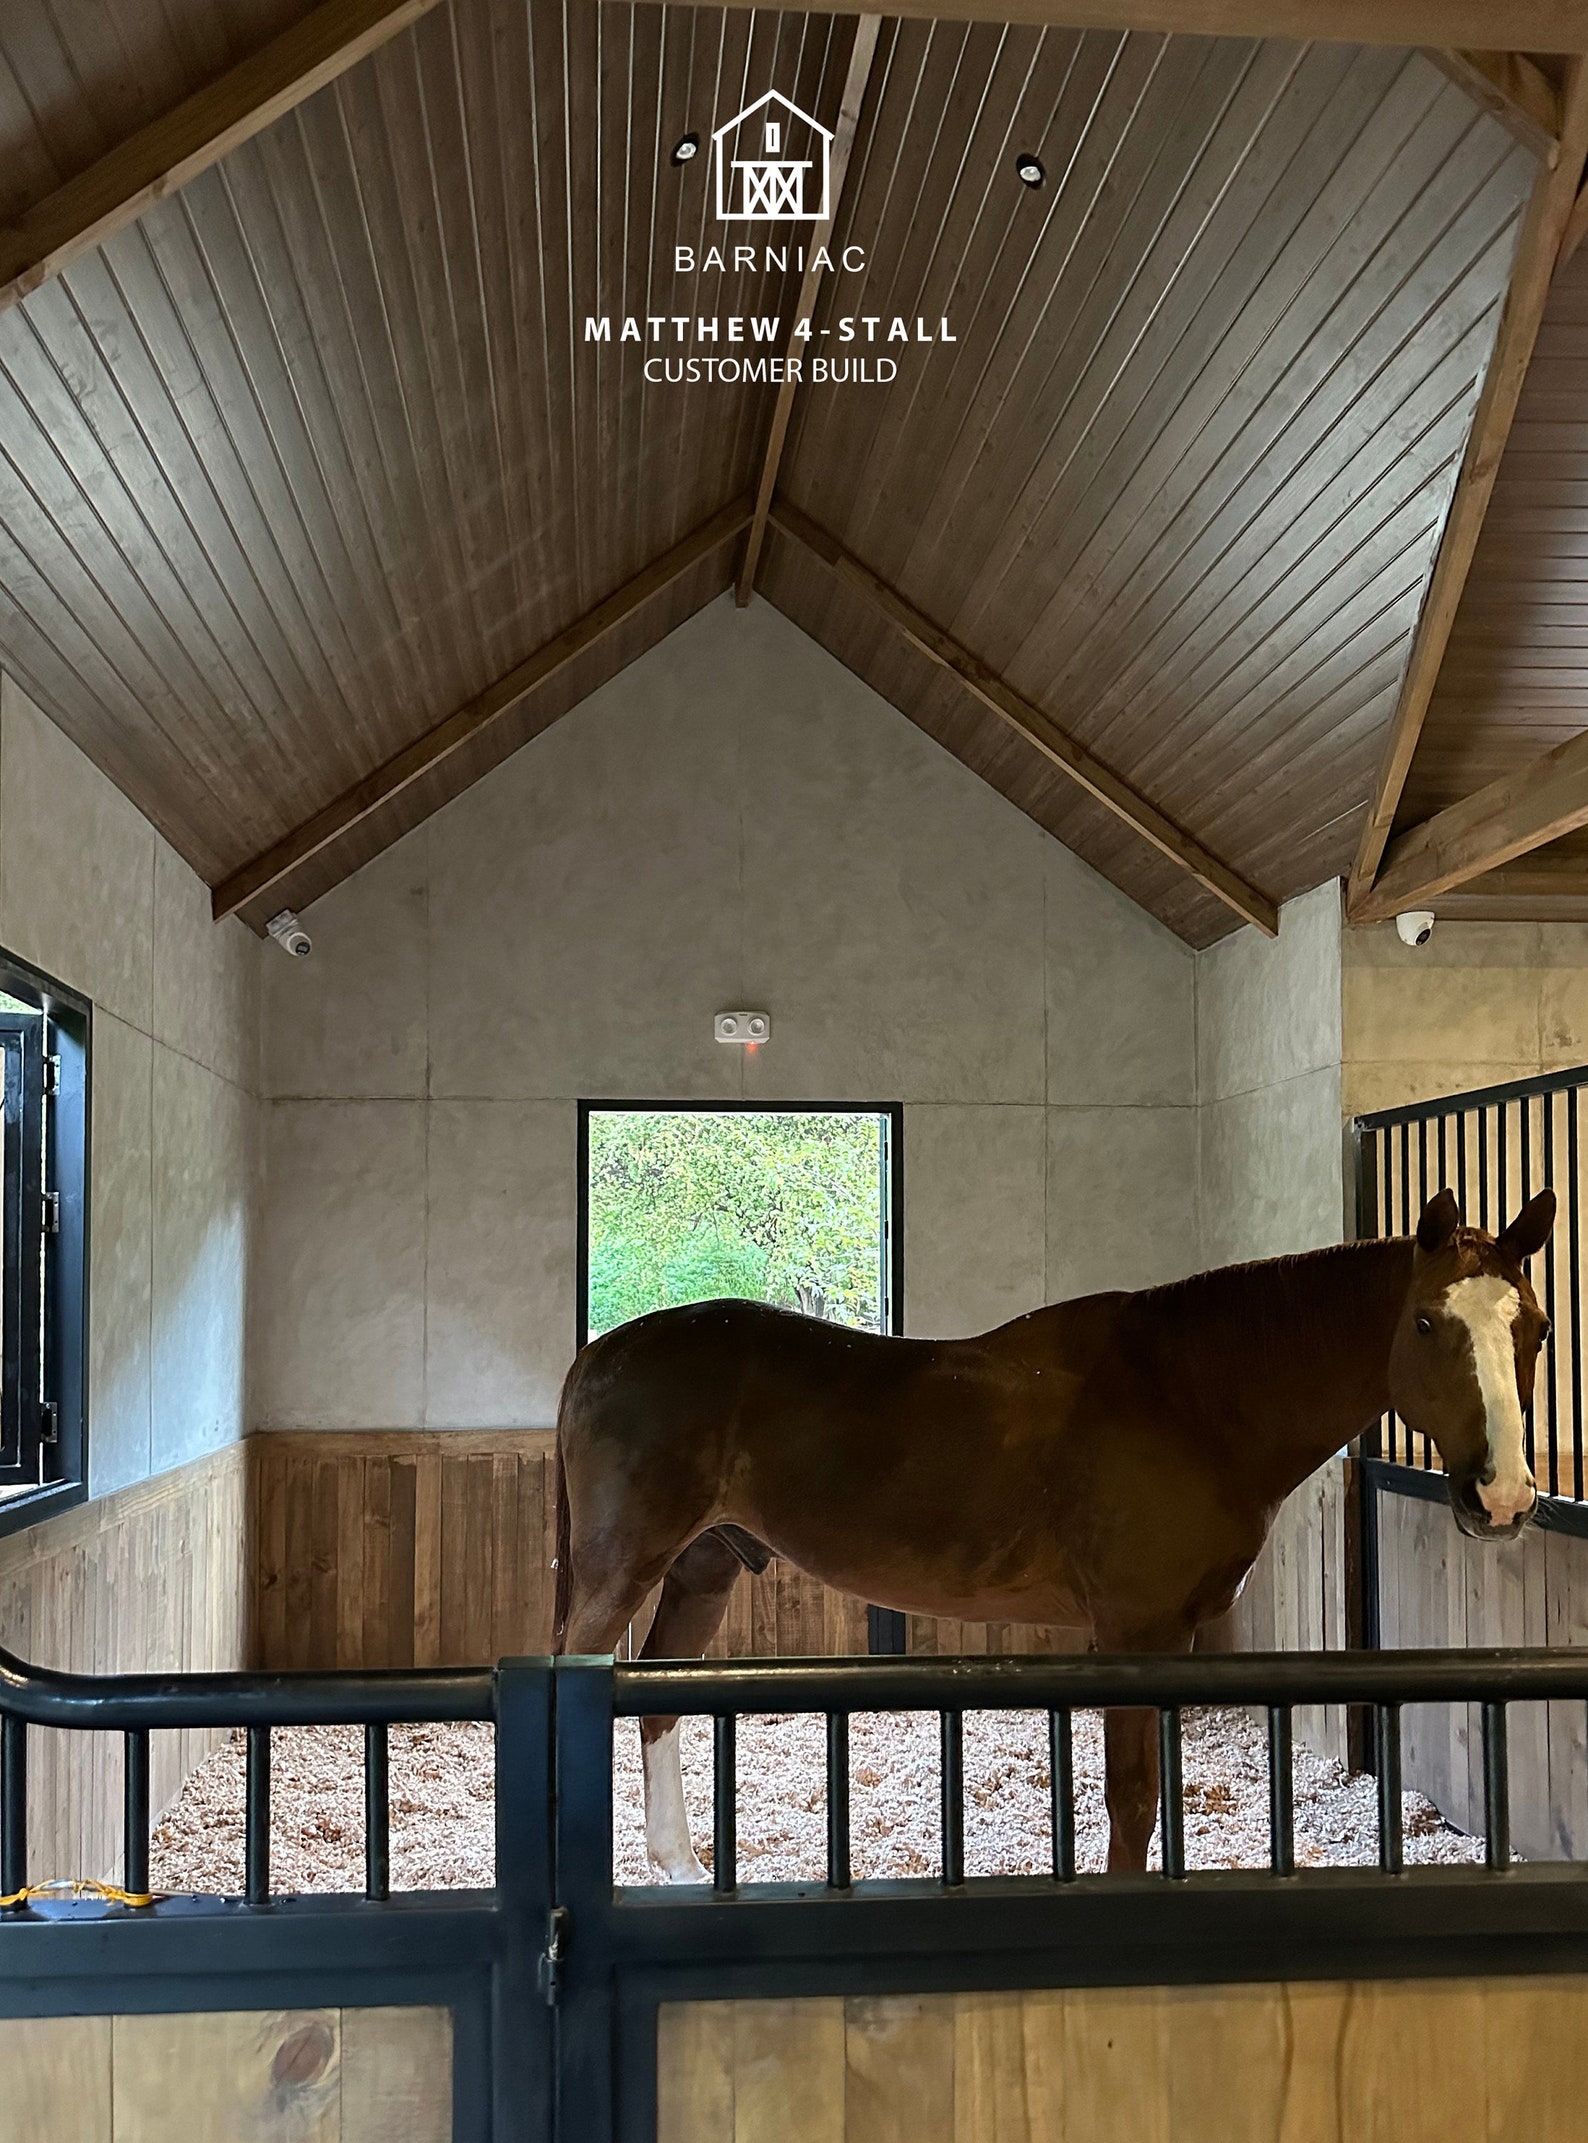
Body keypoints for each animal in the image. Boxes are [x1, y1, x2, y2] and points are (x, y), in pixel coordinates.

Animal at [552, 1186, 1555, 1878]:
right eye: (1425, 1321)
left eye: (1537, 1328)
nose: (1503, 1496)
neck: (1189, 1396)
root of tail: (598, 1353)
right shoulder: (1134, 1630)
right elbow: (1133, 1798)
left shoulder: (1177, 1635)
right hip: (620, 1571)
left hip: (702, 1568)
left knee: (658, 1698)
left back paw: (680, 1868)